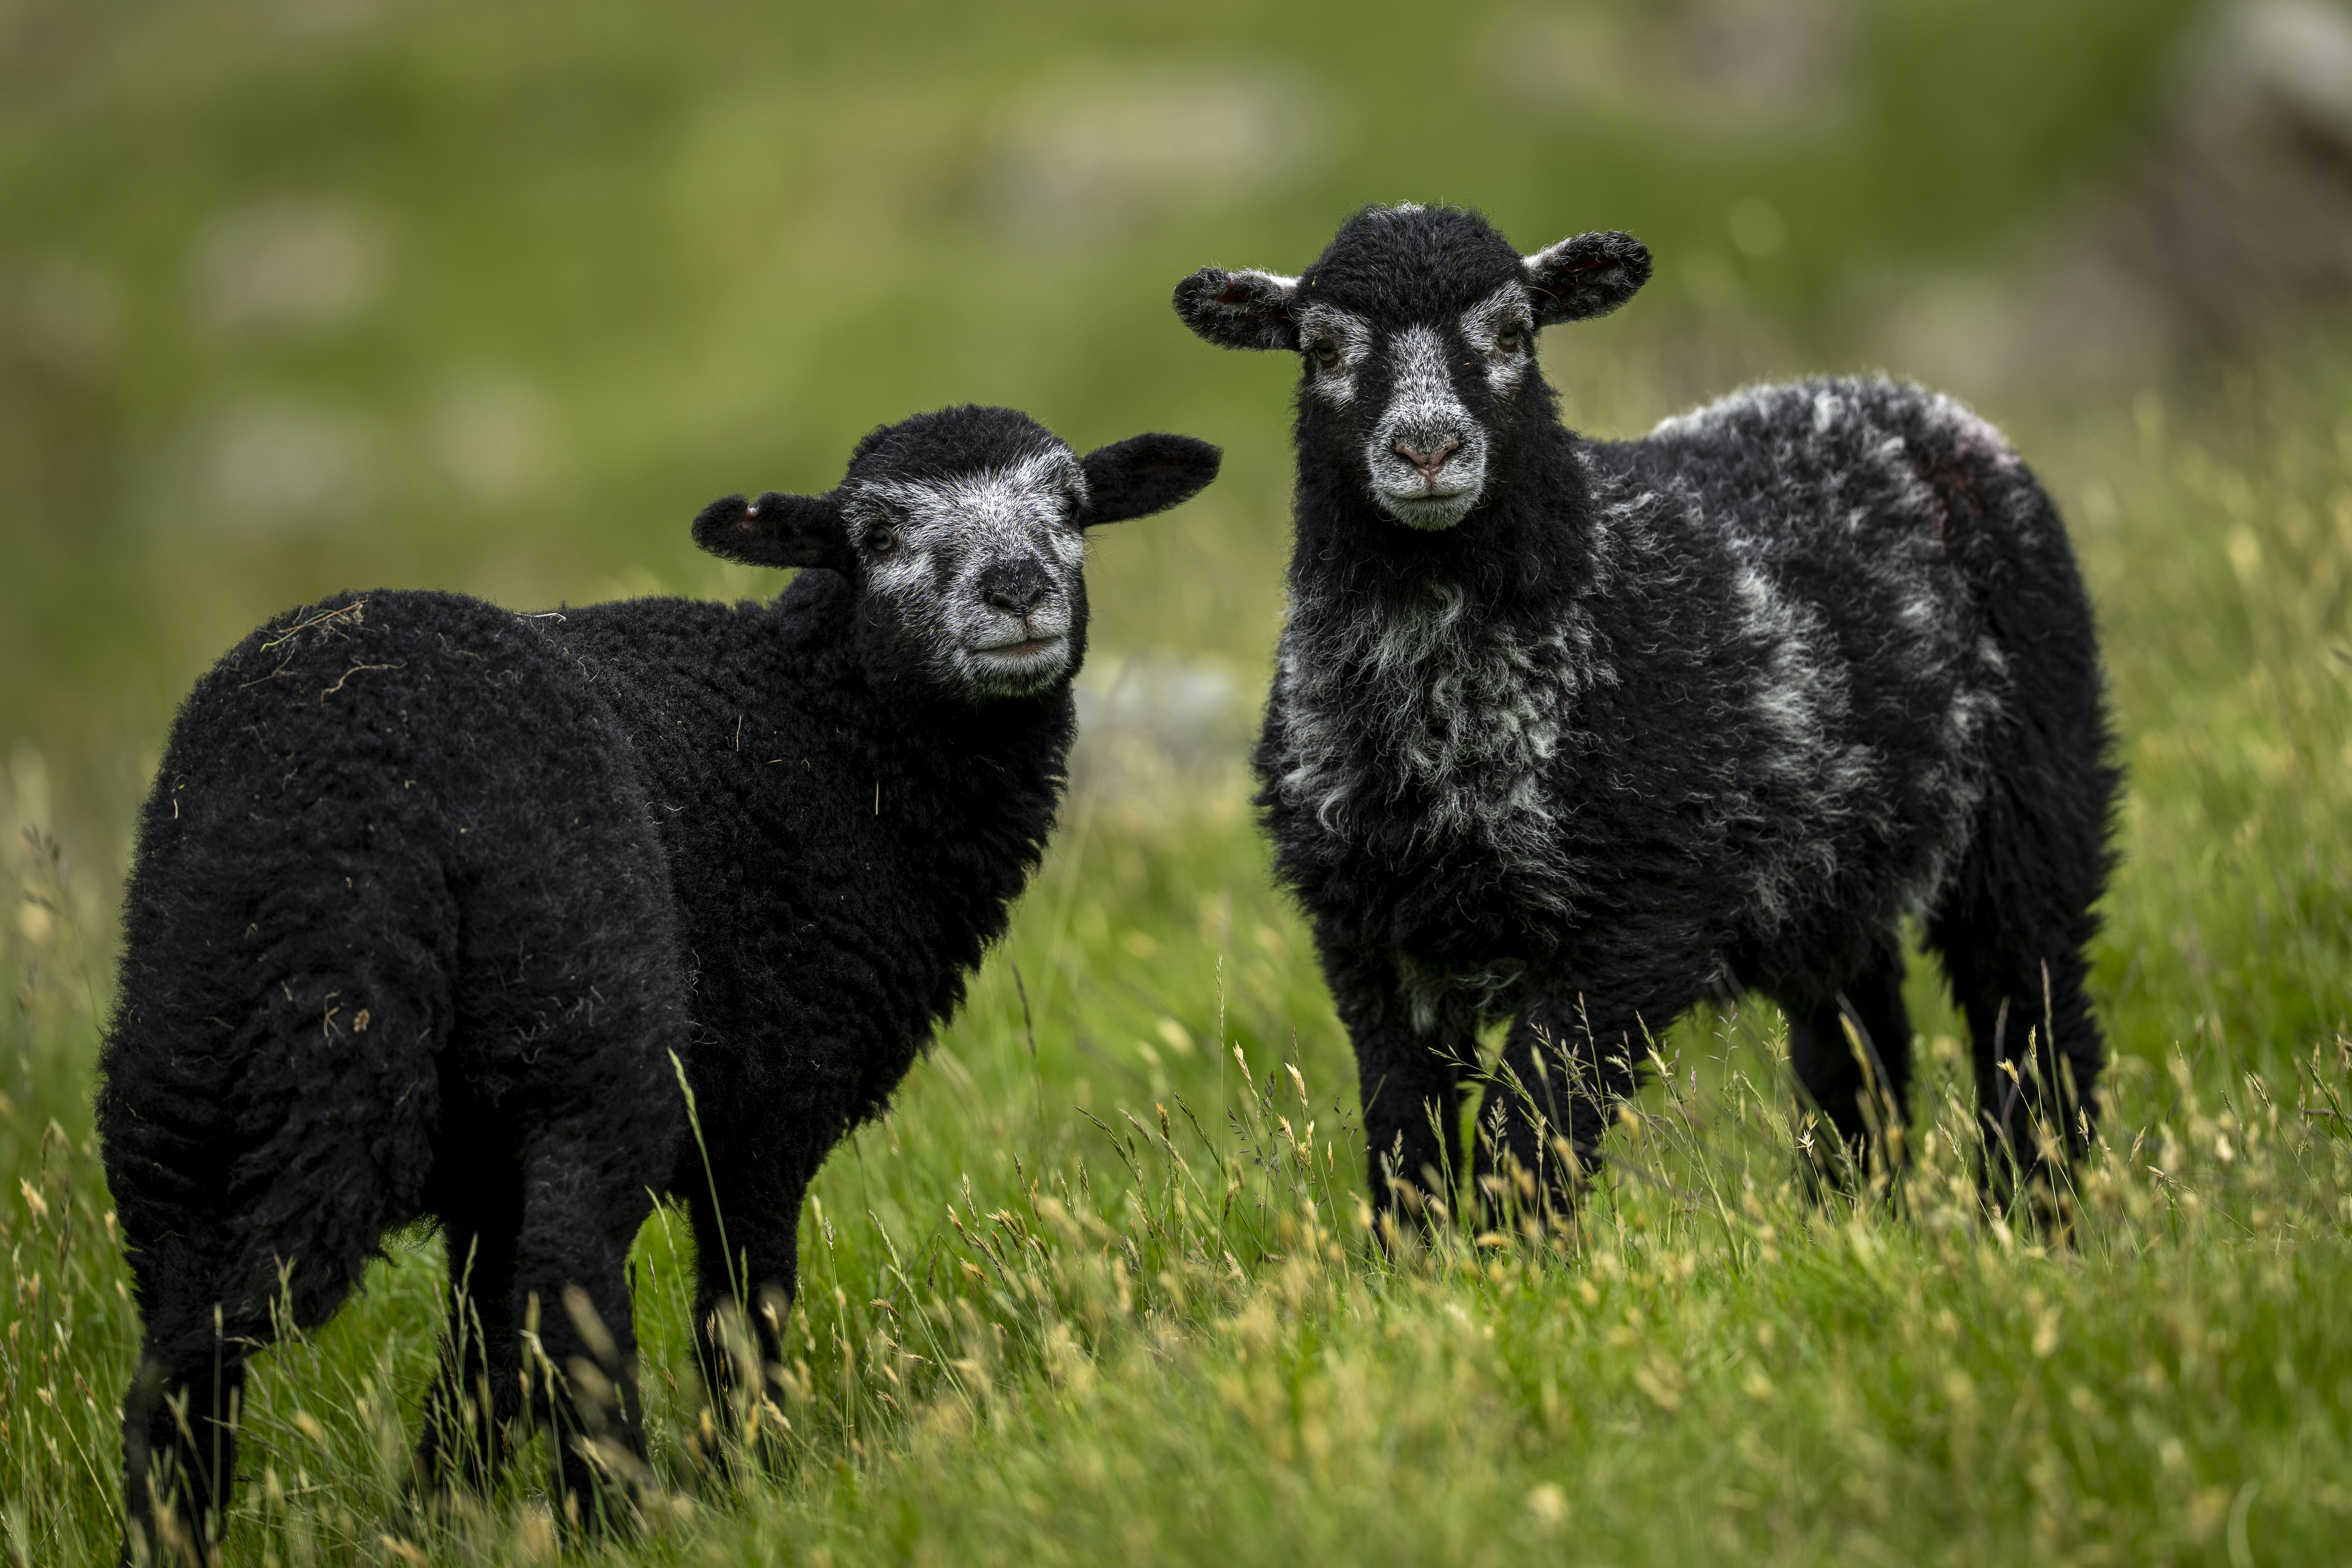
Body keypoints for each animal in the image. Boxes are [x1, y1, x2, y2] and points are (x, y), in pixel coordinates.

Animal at [96, 403, 1221, 1562]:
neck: (827, 739)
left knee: (182, 1357)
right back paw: (624, 1513)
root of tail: (348, 812)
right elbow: (741, 1307)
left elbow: (476, 1346)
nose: (1015, 592)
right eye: (876, 536)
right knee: (570, 1288)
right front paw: (752, 1471)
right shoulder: (766, 1107)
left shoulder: (483, 1177)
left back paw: (178, 1537)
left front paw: (440, 1516)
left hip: (184, 1077)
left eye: (1072, 508)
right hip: (588, 1044)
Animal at [1173, 204, 2118, 1232]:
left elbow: (1527, 1123)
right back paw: (1851, 1209)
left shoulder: (1640, 914)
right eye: (1321, 349)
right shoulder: (1366, 934)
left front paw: (1512, 1256)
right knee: (1855, 1035)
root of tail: (1912, 401)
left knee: (2030, 1009)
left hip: (2034, 790)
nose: (1428, 451)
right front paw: (1419, 1263)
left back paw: (2035, 1213)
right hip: (1831, 858)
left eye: (1512, 334)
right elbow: (1403, 1134)